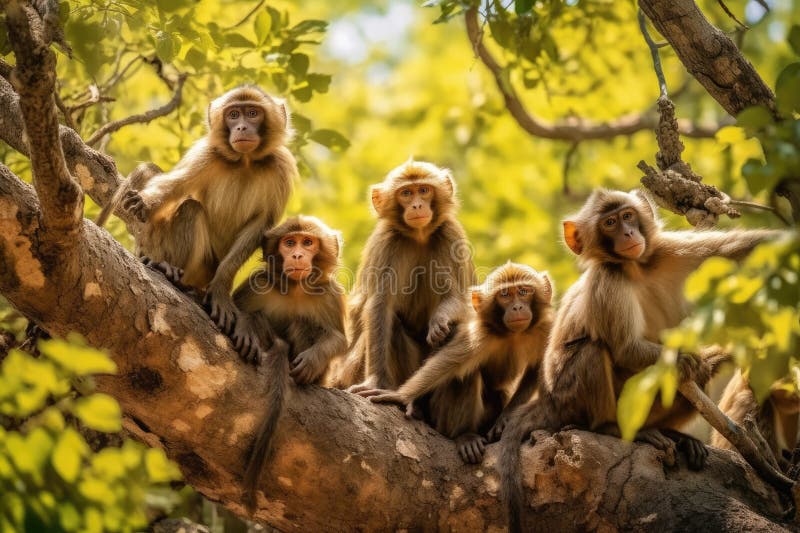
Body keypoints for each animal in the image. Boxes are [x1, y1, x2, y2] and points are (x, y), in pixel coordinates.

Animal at [97, 85, 296, 344]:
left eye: (253, 113)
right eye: (234, 115)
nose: (242, 127)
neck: (245, 162)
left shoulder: (280, 168)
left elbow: (262, 225)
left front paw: (220, 290)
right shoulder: (205, 154)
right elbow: (175, 187)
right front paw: (146, 202)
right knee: (190, 209)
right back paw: (166, 269)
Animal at [229, 215, 347, 510]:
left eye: (308, 243)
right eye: (290, 243)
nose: (297, 255)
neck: (294, 289)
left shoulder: (330, 294)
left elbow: (339, 339)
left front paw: (313, 360)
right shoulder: (256, 284)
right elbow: (236, 310)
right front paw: (245, 325)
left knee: (305, 323)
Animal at [330, 159, 476, 394]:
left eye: (424, 190)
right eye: (406, 193)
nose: (417, 206)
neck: (419, 236)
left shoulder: (451, 235)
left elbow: (459, 298)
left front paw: (440, 320)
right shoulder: (386, 241)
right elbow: (379, 306)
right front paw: (374, 381)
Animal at [357, 262, 554, 464]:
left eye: (524, 291)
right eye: (505, 295)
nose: (517, 307)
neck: (512, 334)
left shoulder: (544, 329)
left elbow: (536, 370)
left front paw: (506, 418)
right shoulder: (480, 335)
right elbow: (447, 363)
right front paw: (400, 396)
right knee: (465, 376)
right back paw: (464, 436)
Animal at [498, 188, 782, 532]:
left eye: (628, 216)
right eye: (609, 223)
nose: (628, 234)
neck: (635, 267)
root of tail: (546, 401)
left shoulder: (668, 250)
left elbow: (742, 250)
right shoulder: (608, 279)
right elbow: (625, 348)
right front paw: (687, 360)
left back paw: (673, 434)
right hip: (568, 399)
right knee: (592, 351)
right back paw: (610, 428)